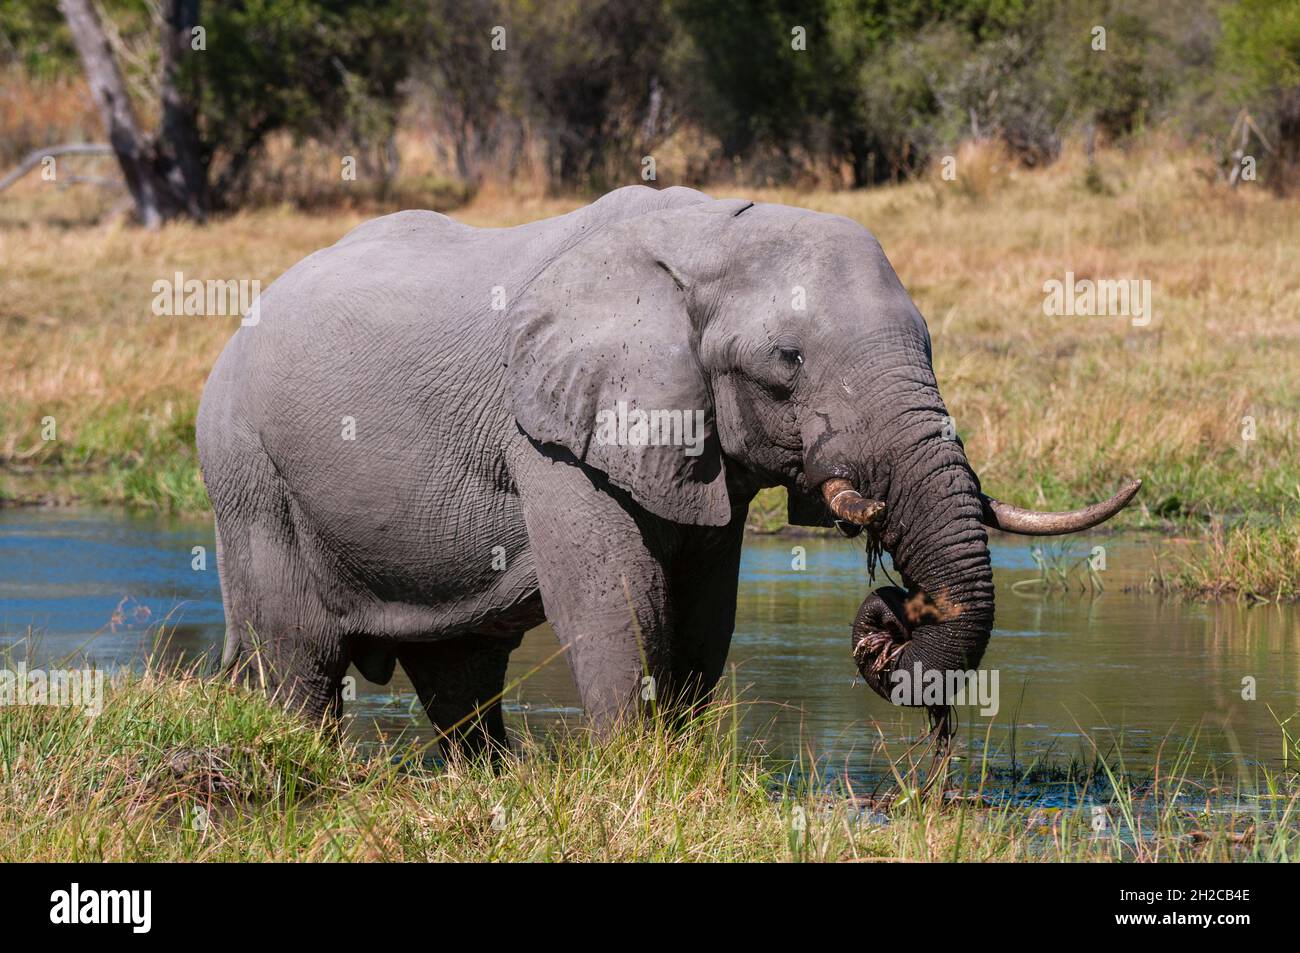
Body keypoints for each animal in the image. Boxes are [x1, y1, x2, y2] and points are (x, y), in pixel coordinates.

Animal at [197, 185, 1139, 757]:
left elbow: (700, 616)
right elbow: (619, 603)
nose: (888, 614)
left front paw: (673, 767)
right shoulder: (548, 431)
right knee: (298, 662)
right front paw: (632, 774)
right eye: (789, 361)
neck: (713, 231)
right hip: (246, 473)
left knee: (459, 674)